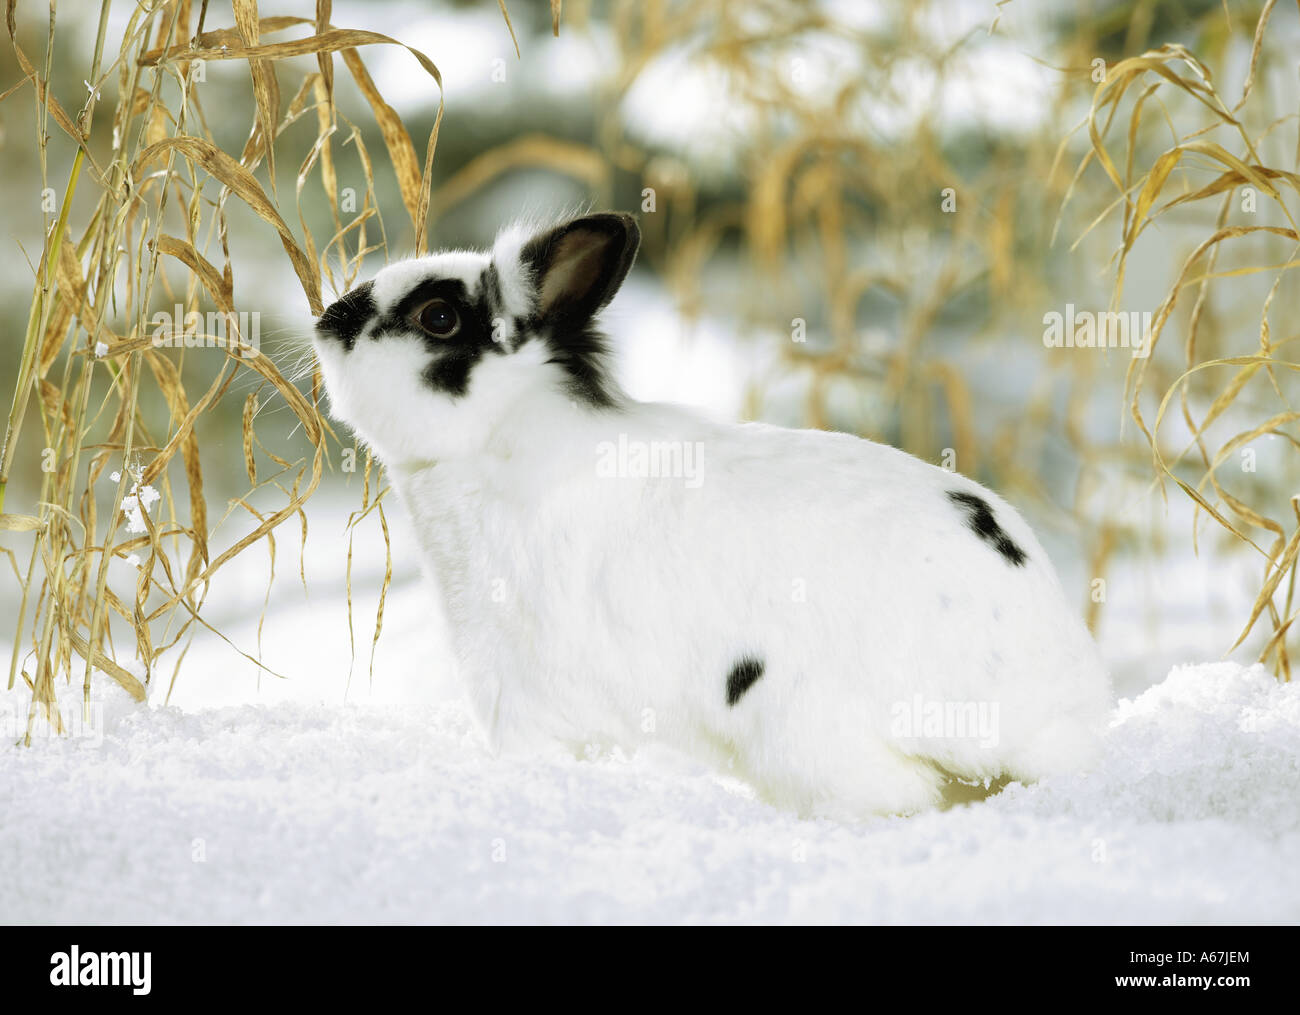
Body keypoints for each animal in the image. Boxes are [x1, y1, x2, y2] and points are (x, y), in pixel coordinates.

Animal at [312, 211, 1111, 819]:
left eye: (439, 316)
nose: (327, 318)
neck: (496, 438)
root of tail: (1056, 713)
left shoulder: (528, 701)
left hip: (798, 728)